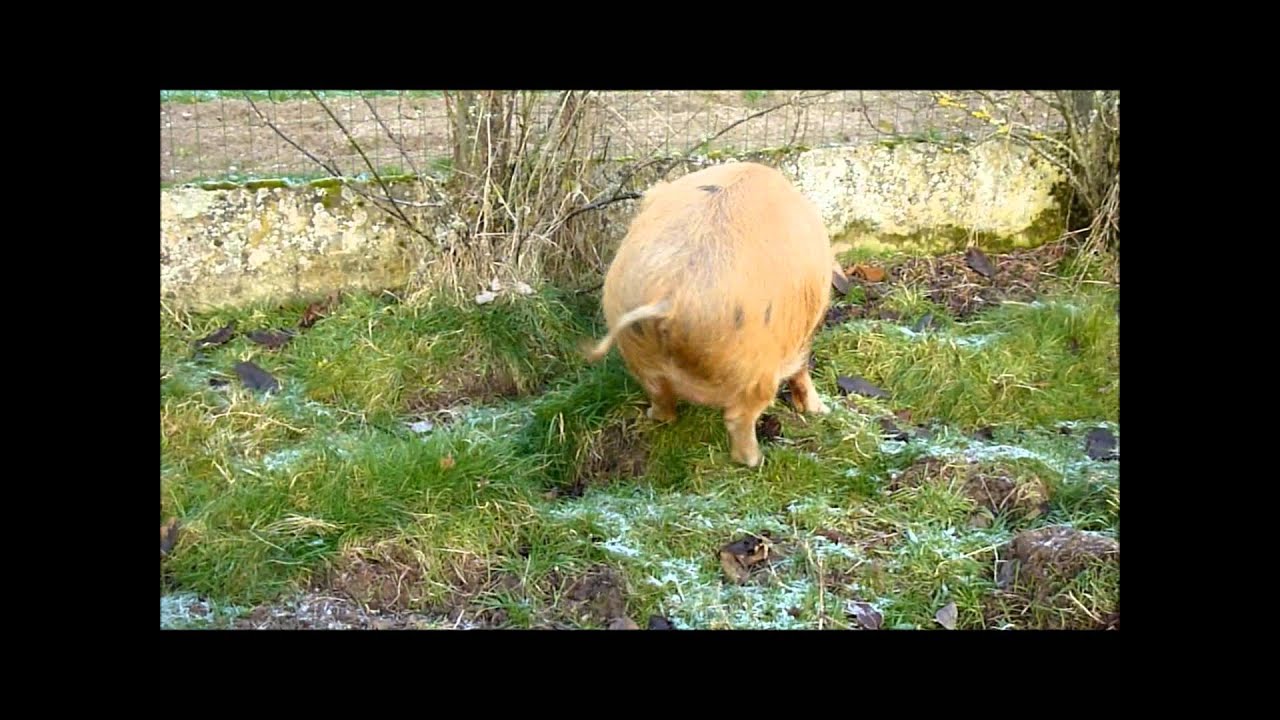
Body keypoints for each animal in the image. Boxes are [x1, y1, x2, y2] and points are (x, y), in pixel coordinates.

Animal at [584, 161, 834, 467]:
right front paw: (820, 411)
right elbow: (802, 369)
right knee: (740, 418)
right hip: (756, 367)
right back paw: (756, 460)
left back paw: (654, 416)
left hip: (637, 349)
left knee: (660, 399)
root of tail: (670, 295)